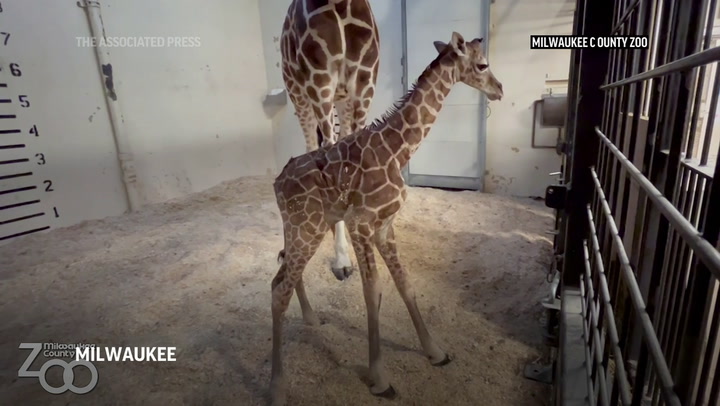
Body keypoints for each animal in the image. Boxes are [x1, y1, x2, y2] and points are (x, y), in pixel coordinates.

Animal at [269, 32, 503, 405]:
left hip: (304, 228)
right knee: (279, 290)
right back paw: (277, 387)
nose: (499, 89)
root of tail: (276, 183)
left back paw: (311, 319)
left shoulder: (384, 226)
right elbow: (373, 291)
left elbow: (404, 283)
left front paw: (436, 352)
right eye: (482, 64)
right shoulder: (360, 223)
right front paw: (380, 378)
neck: (399, 149)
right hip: (307, 228)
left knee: (280, 274)